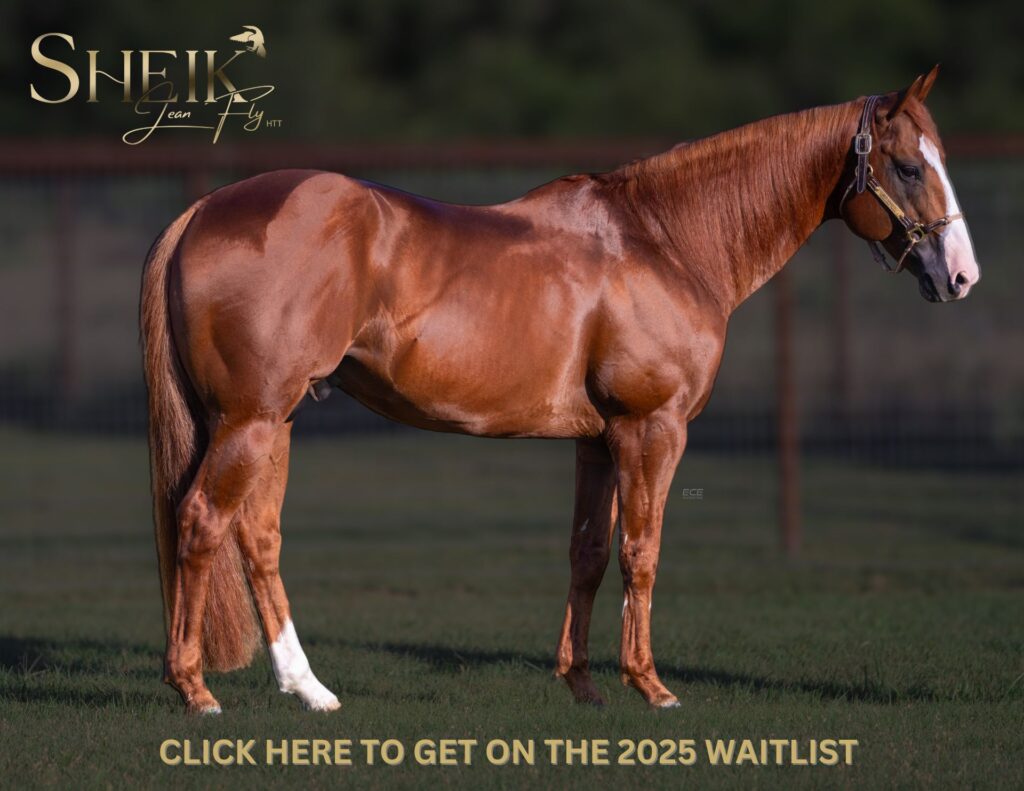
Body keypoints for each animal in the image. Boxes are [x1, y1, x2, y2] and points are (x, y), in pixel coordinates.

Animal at [141, 66, 979, 714]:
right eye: (908, 166)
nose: (962, 275)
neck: (666, 240)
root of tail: (202, 210)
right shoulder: (652, 427)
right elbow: (643, 550)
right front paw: (651, 686)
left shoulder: (599, 440)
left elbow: (589, 552)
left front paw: (582, 684)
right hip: (250, 420)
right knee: (201, 522)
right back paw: (195, 690)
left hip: (273, 419)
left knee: (257, 536)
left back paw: (308, 688)